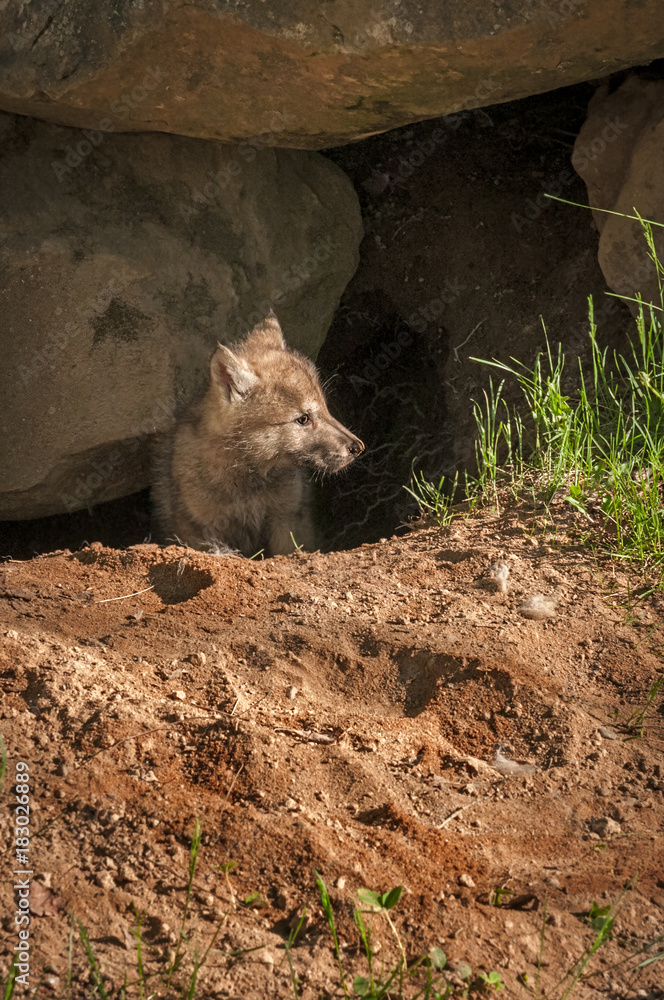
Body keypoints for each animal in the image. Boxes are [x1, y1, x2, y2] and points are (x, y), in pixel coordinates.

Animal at [153, 313, 364, 556]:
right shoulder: (205, 531)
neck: (247, 480)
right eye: (303, 419)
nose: (358, 447)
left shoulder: (286, 518)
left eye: (326, 408)